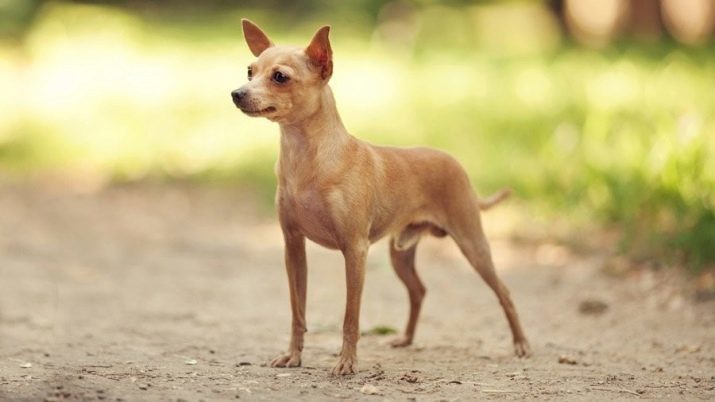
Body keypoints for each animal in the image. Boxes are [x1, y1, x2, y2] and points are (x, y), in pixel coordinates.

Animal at [231, 19, 532, 376]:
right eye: (250, 71)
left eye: (280, 77)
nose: (236, 93)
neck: (306, 160)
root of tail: (454, 162)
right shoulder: (293, 248)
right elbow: (297, 311)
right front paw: (293, 355)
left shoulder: (355, 250)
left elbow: (350, 318)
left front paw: (347, 362)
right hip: (400, 253)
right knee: (419, 290)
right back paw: (406, 338)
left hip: (473, 245)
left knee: (505, 292)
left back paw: (521, 345)